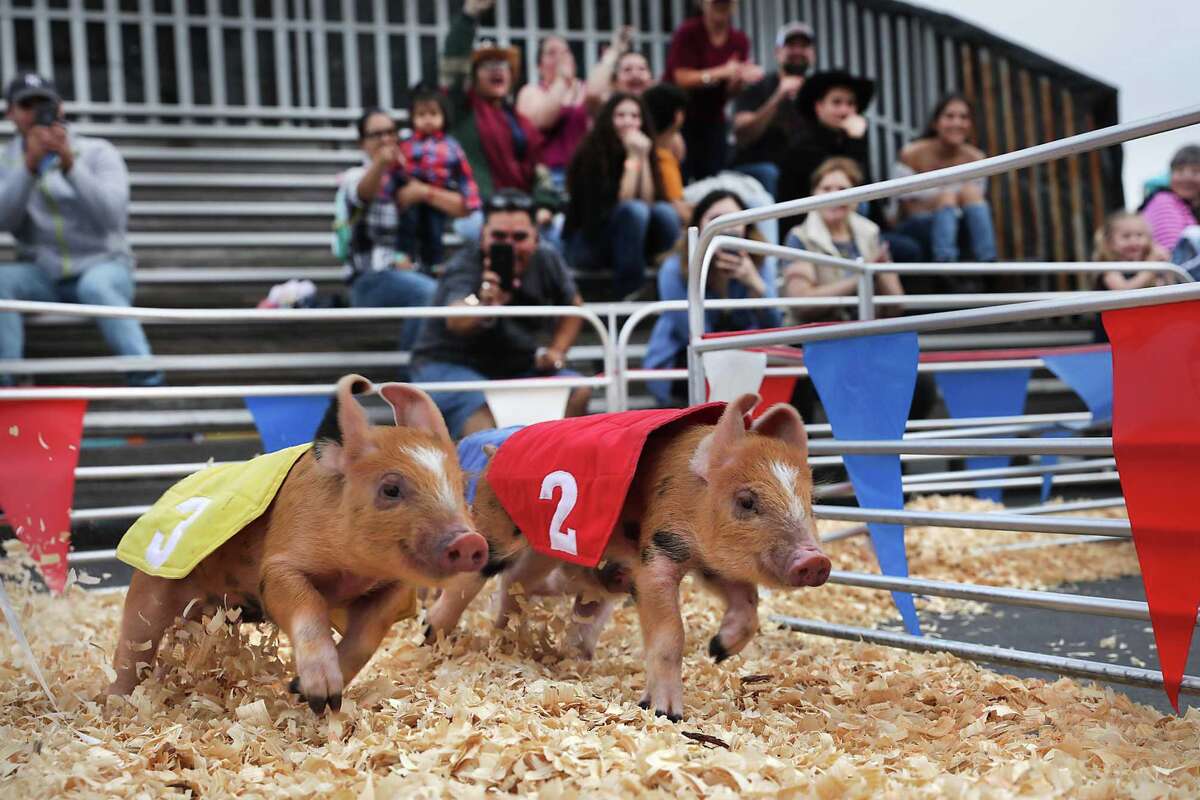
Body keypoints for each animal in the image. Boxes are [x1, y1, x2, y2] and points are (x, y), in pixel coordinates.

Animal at [106, 375, 488, 713]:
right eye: (391, 489)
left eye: (459, 484)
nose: (470, 540)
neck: (351, 573)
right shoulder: (279, 563)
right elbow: (305, 605)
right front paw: (321, 696)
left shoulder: (392, 587)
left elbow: (368, 635)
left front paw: (304, 694)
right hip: (152, 585)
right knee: (134, 645)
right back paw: (115, 705)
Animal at [427, 394, 830, 720]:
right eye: (746, 501)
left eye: (810, 502)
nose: (815, 561)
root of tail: (493, 453)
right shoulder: (657, 554)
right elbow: (669, 633)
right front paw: (667, 713)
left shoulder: (709, 563)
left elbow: (748, 605)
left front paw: (718, 652)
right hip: (496, 526)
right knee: (473, 575)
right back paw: (432, 636)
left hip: (544, 545)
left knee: (517, 580)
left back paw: (507, 638)